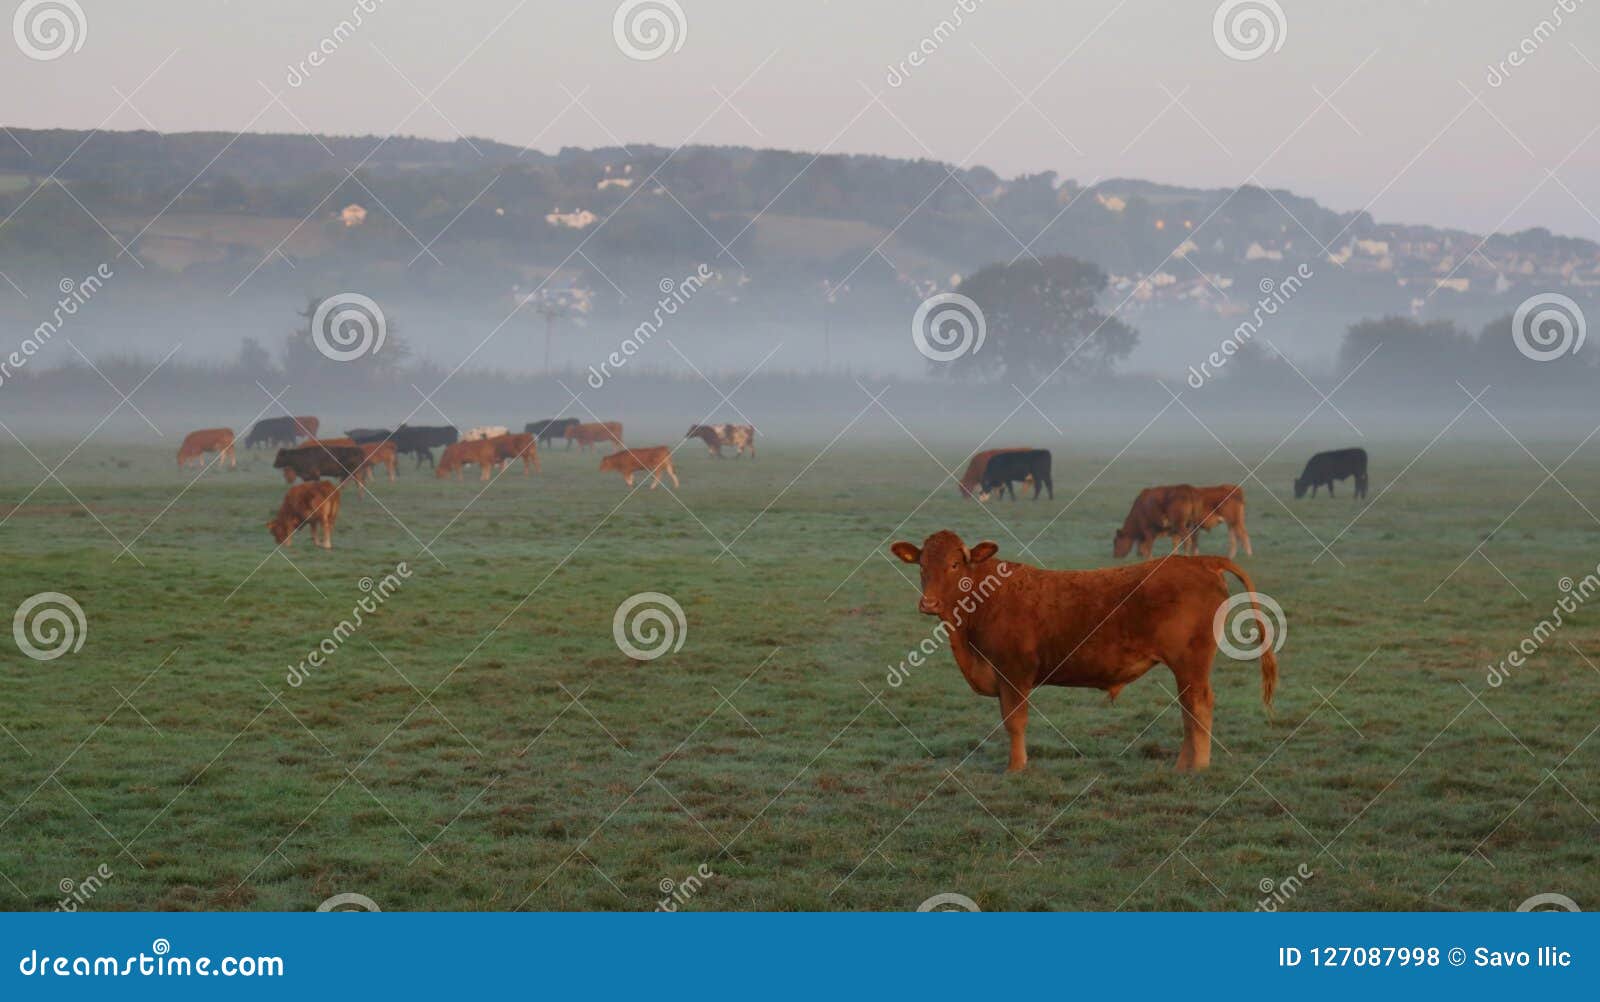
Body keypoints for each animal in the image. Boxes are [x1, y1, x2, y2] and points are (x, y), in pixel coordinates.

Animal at [890, 531, 1278, 772]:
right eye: (922, 566)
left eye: (955, 565)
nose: (928, 603)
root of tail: (1199, 561)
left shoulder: (1014, 672)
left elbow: (1014, 722)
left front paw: (1016, 767)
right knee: (1188, 710)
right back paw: (1184, 764)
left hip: (1190, 663)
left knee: (1198, 706)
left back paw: (1198, 765)